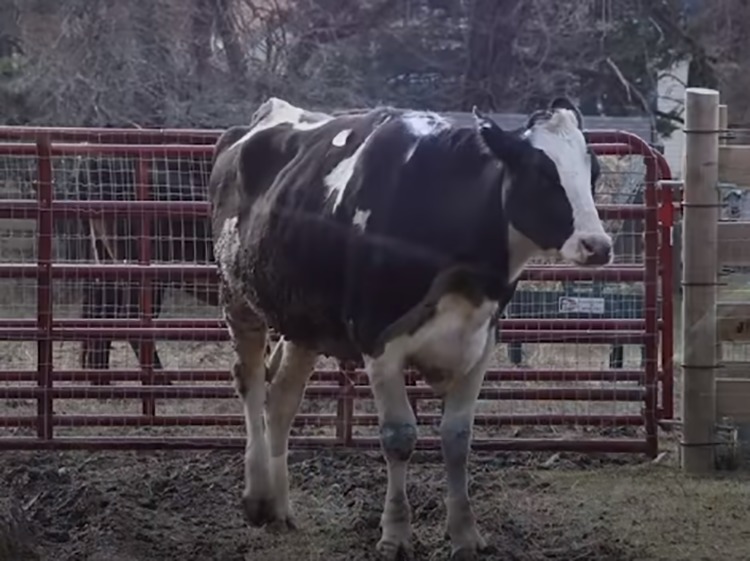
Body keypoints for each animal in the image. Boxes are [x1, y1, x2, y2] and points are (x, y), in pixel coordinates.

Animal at [208, 96, 611, 560]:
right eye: (542, 172)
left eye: (593, 172)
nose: (598, 246)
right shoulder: (379, 342)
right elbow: (399, 437)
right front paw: (395, 534)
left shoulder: (480, 344)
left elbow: (457, 439)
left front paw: (465, 533)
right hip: (238, 297)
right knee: (252, 383)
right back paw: (257, 498)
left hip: (302, 319)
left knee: (282, 400)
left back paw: (280, 507)